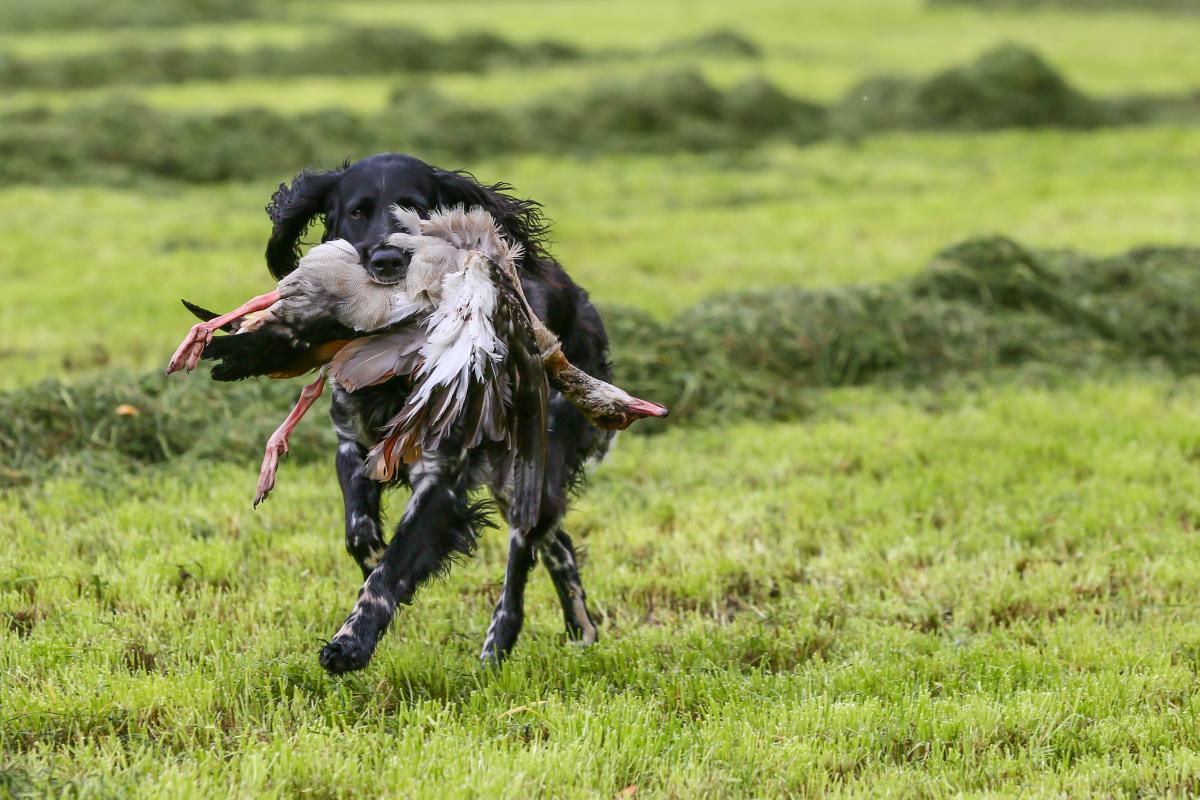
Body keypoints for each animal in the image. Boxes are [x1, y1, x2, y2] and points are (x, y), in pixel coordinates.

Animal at [266, 153, 614, 671]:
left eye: (414, 208)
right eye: (357, 212)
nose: (388, 261)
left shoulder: (442, 477)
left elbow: (395, 563)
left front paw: (352, 641)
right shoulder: (352, 445)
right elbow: (361, 537)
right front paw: (374, 566)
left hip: (530, 466)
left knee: (523, 556)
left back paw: (497, 646)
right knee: (559, 544)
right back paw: (581, 631)